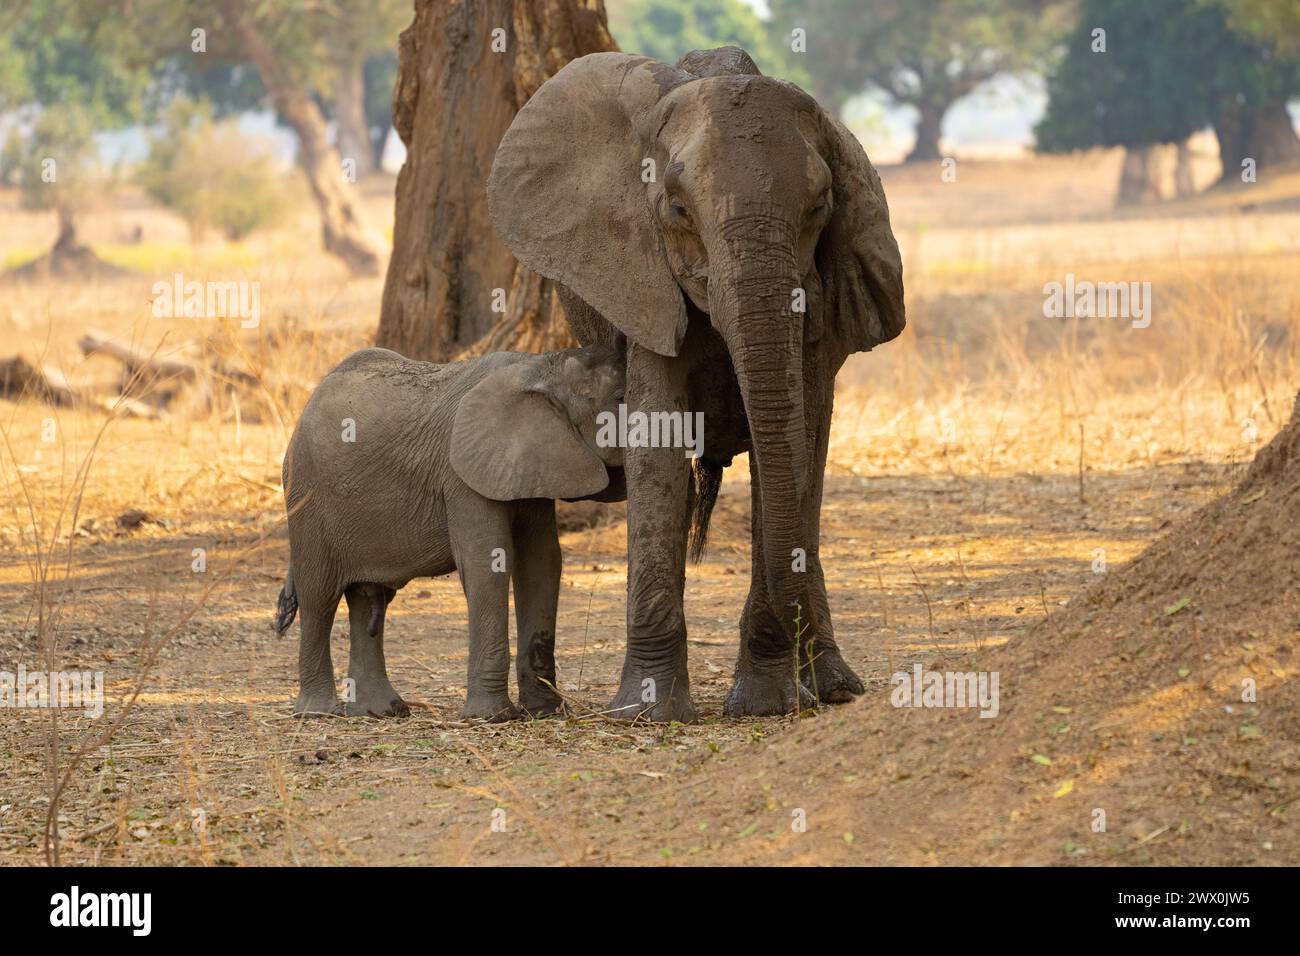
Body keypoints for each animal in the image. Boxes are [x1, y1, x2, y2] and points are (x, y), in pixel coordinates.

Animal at [273, 344, 626, 721]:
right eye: (621, 398)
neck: (543, 367)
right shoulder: (461, 478)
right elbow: (486, 563)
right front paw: (492, 717)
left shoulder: (531, 467)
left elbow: (541, 561)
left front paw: (546, 712)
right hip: (306, 495)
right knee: (319, 597)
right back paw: (317, 713)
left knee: (368, 599)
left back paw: (383, 712)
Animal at [487, 47, 905, 721]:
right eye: (677, 210)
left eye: (820, 207)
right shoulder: (644, 275)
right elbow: (658, 444)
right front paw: (648, 713)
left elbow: (794, 444)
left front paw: (762, 704)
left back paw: (833, 686)